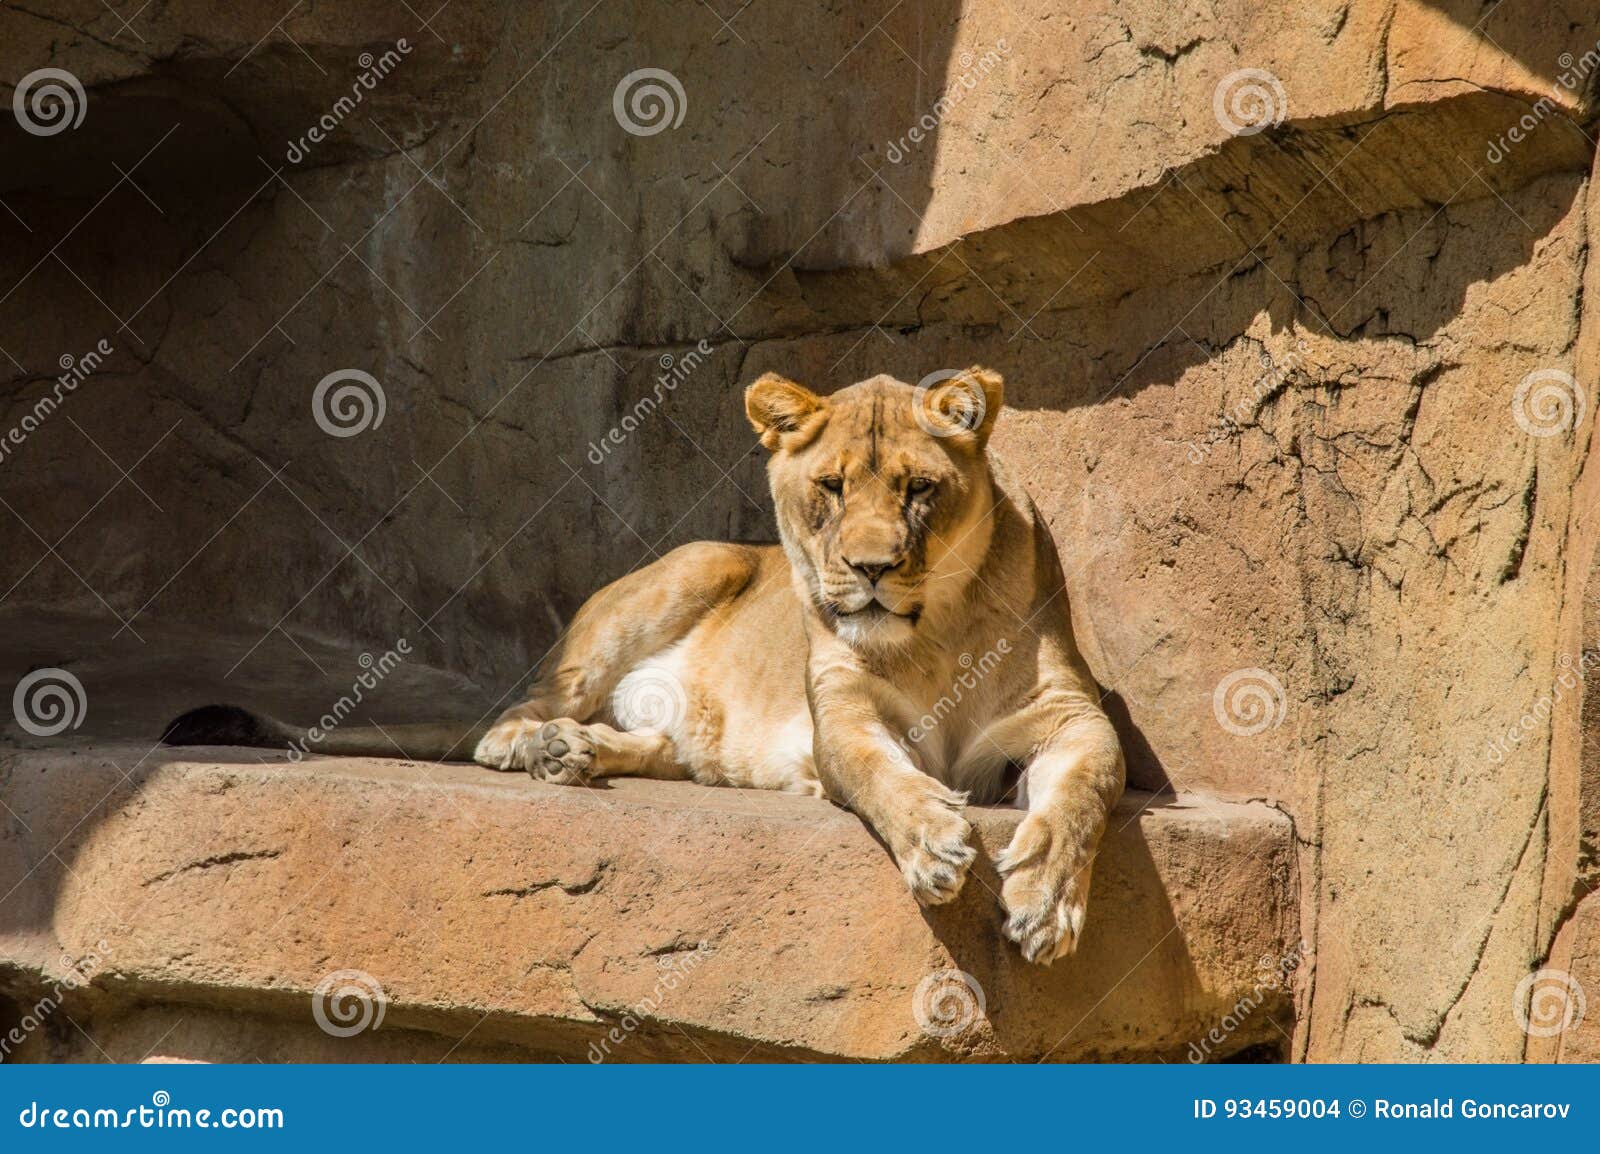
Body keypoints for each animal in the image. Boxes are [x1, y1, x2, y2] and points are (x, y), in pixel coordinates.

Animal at [164, 367, 1124, 963]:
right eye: (833, 487)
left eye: (921, 490)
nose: (873, 568)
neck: (935, 632)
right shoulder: (843, 714)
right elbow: (881, 773)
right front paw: (932, 841)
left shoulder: (1071, 717)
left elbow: (1085, 794)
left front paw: (1046, 903)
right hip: (684, 572)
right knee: (514, 711)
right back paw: (536, 745)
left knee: (659, 743)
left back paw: (578, 752)